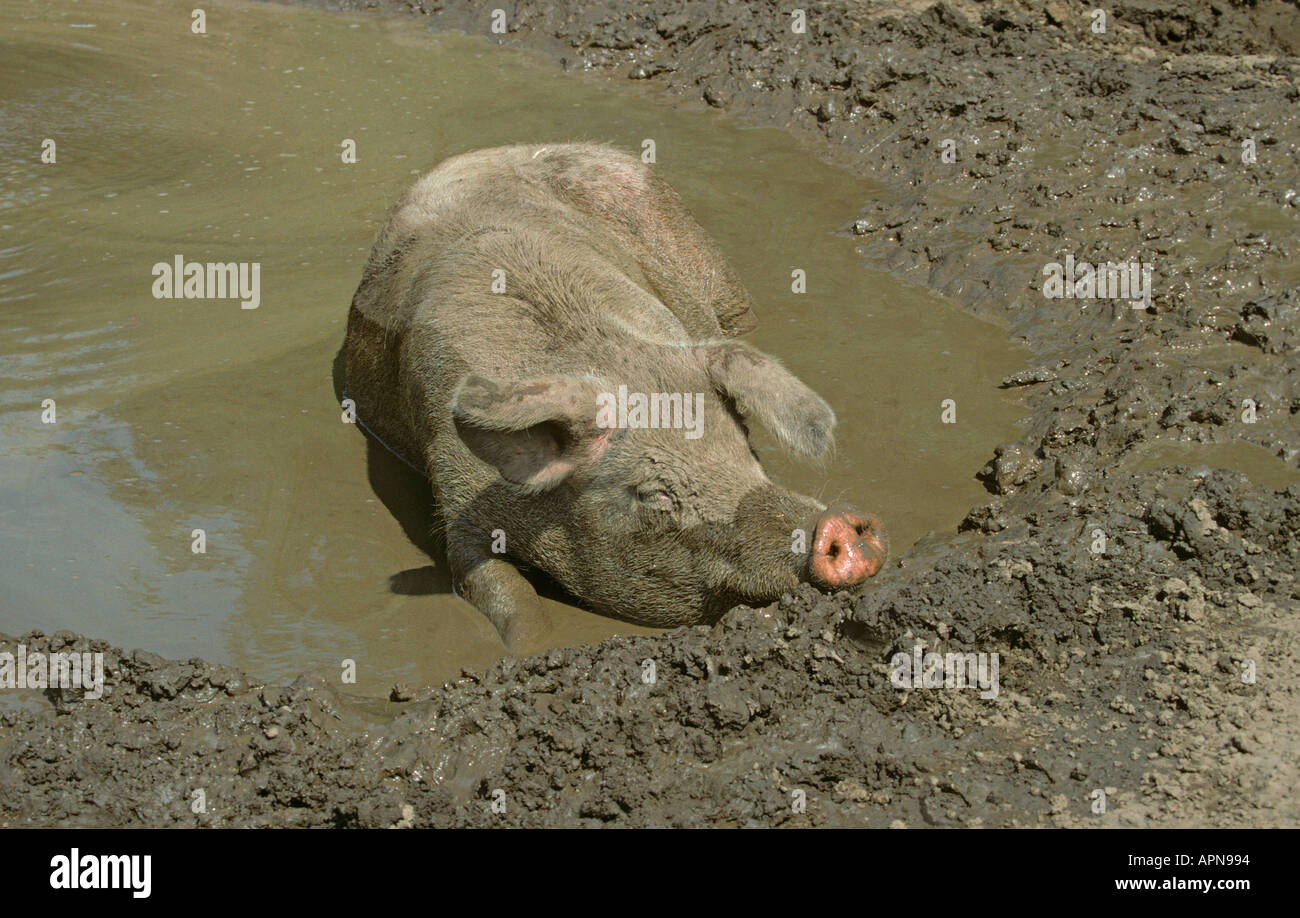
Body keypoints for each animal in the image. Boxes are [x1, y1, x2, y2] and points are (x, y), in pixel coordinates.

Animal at [344, 143, 887, 647]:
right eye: (655, 493)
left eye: (747, 448)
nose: (836, 524)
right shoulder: (453, 490)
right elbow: (500, 593)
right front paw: (533, 644)